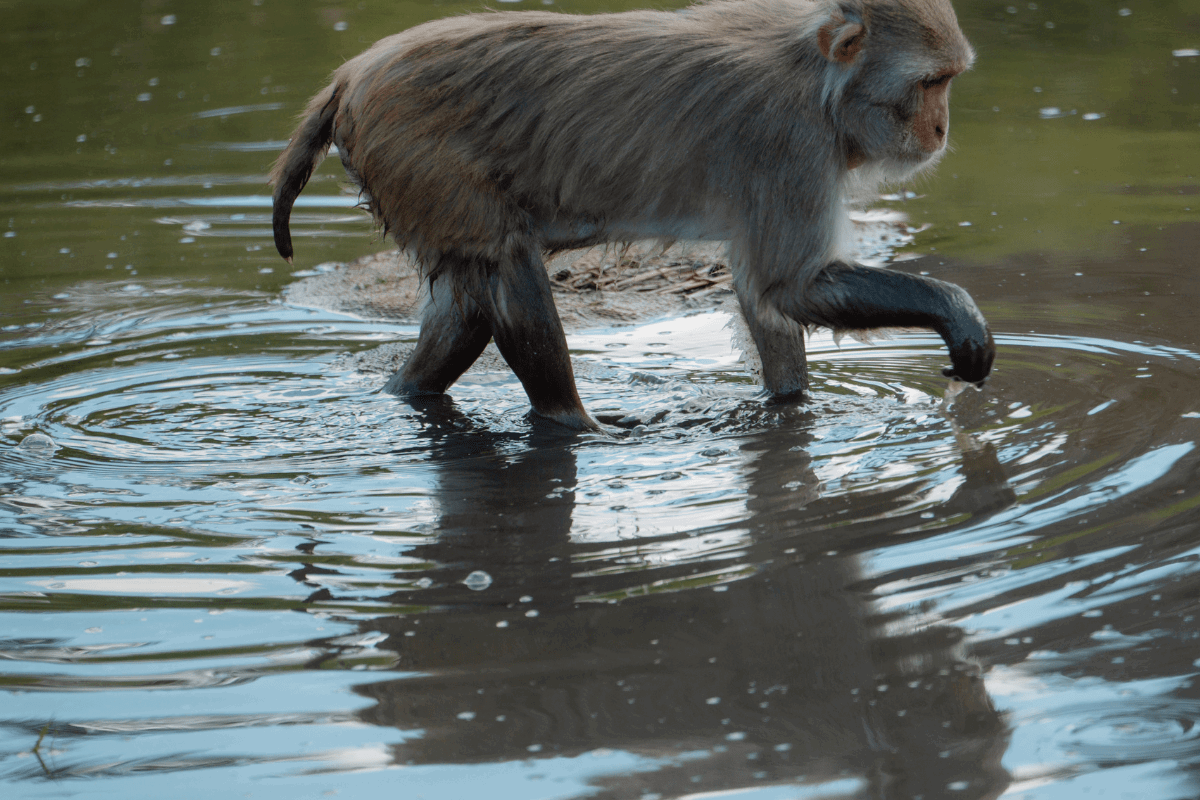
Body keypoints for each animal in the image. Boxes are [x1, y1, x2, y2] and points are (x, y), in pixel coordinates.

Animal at [271, 0, 994, 431]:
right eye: (932, 83)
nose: (940, 129)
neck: (818, 76)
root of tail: (351, 76)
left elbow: (766, 302)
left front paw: (789, 408)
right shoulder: (789, 142)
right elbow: (787, 286)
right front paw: (953, 311)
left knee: (466, 305)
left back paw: (409, 393)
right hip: (417, 150)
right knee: (508, 274)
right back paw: (574, 424)